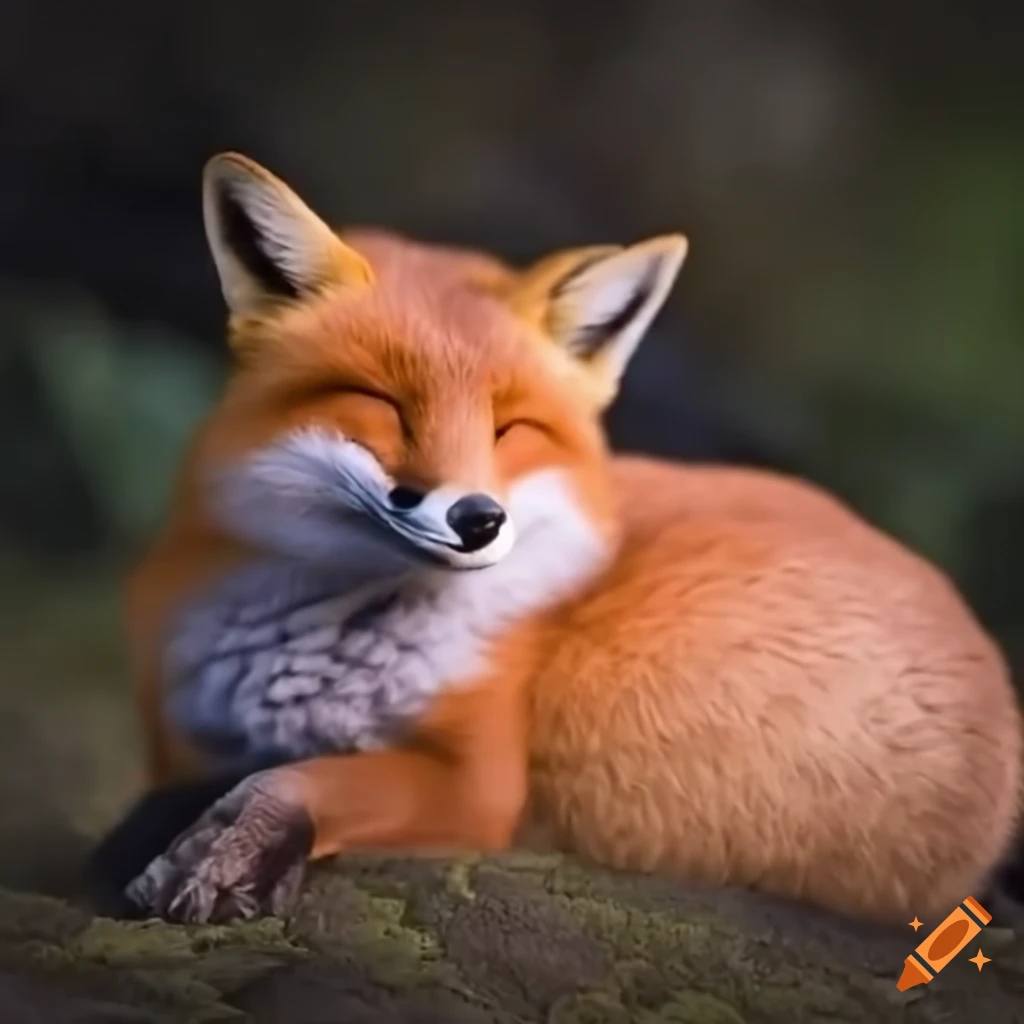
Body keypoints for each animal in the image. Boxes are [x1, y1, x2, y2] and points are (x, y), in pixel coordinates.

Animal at [94, 151, 1023, 927]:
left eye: (511, 428)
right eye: (386, 406)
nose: (477, 520)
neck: (309, 653)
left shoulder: (479, 784)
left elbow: (299, 778)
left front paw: (241, 840)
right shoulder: (176, 738)